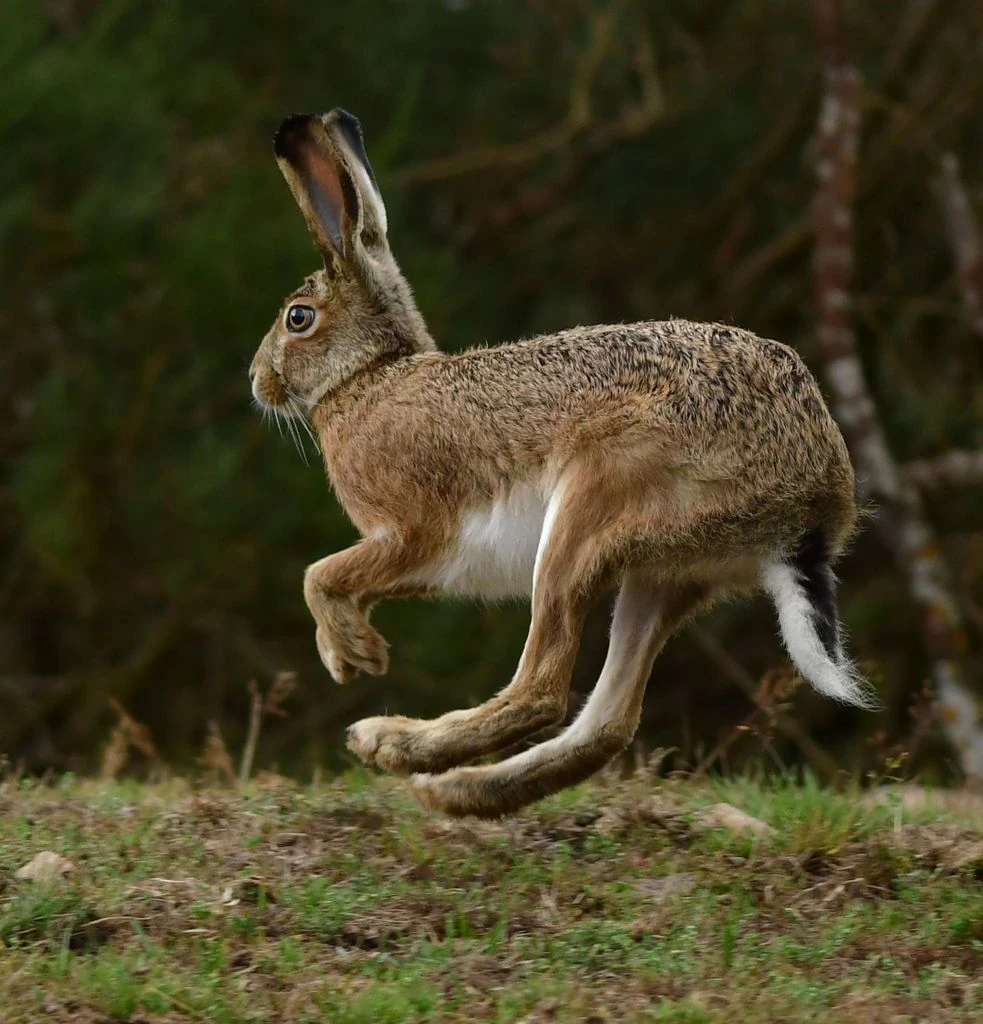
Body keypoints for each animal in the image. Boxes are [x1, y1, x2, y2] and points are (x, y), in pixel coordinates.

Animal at [249, 108, 874, 819]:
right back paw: (453, 790)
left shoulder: (417, 534)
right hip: (663, 573)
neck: (367, 376)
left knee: (542, 690)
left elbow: (321, 575)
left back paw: (393, 744)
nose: (257, 380)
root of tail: (811, 500)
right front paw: (351, 651)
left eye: (298, 318)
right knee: (605, 724)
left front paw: (351, 656)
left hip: (589, 512)